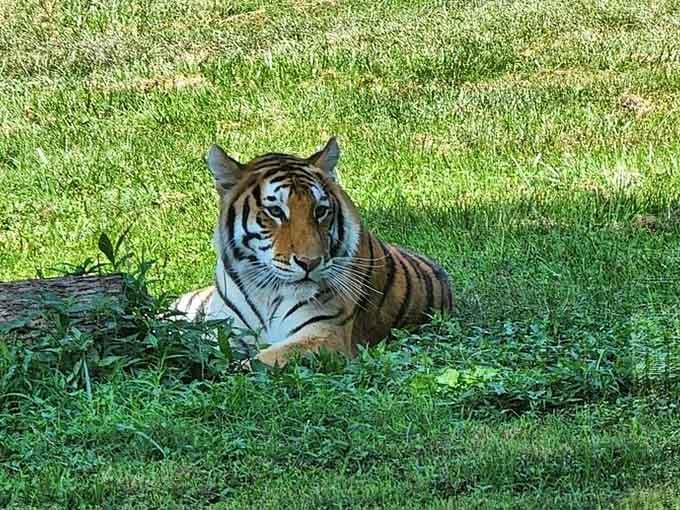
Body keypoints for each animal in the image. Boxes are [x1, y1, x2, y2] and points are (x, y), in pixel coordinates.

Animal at [173, 138, 453, 366]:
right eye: (275, 211)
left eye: (320, 211)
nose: (310, 262)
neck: (264, 292)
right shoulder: (223, 331)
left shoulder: (326, 334)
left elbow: (260, 361)